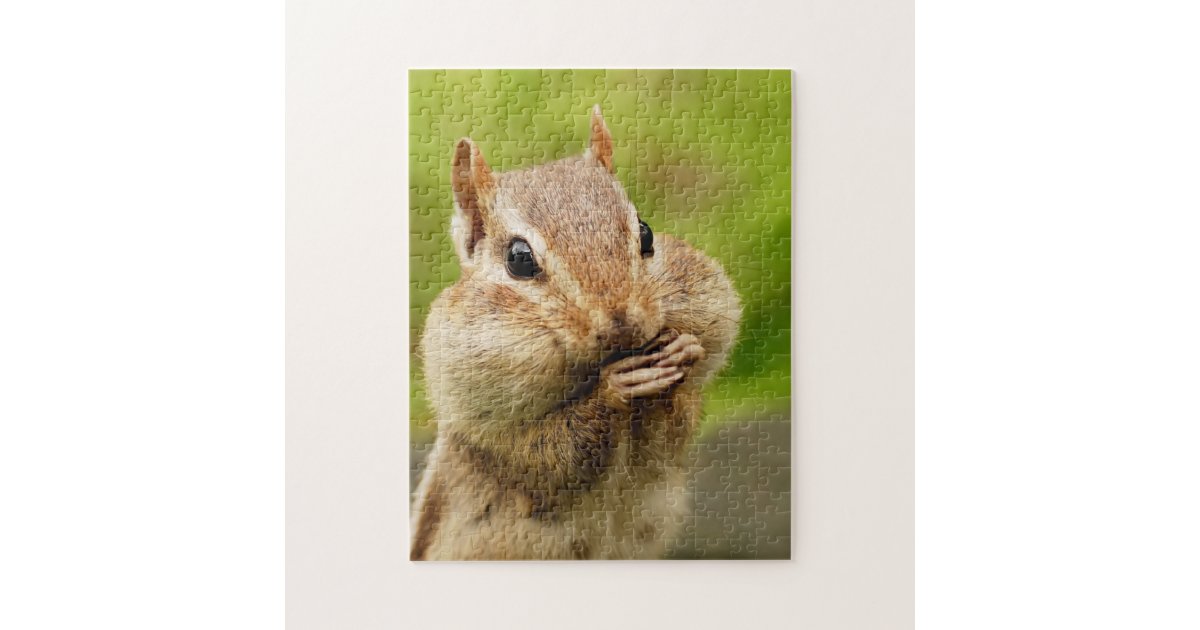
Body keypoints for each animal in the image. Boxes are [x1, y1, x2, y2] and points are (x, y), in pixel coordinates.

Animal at [411, 105, 741, 560]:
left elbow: (672, 435)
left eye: (645, 232)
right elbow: (553, 456)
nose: (622, 324)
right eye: (518, 258)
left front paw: (682, 351)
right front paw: (615, 387)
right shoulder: (491, 431)